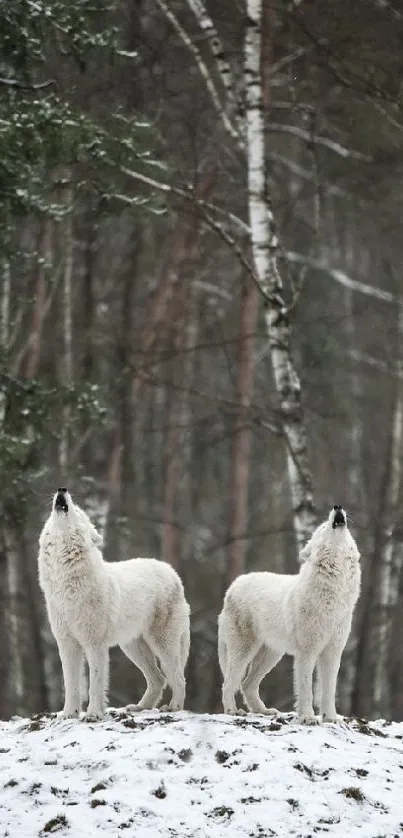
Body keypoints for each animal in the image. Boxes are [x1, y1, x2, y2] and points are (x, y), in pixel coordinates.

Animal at [38, 488, 190, 720]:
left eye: (77, 511)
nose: (62, 489)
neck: (66, 583)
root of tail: (172, 573)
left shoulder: (94, 644)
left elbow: (95, 683)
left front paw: (93, 714)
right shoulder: (66, 644)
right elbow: (70, 684)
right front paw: (69, 714)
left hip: (162, 644)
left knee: (178, 678)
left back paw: (173, 707)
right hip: (133, 647)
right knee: (158, 679)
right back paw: (140, 707)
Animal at [218, 506, 361, 723]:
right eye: (322, 527)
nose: (337, 507)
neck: (334, 594)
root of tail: (233, 586)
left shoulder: (333, 652)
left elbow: (329, 691)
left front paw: (331, 718)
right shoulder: (307, 652)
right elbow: (306, 688)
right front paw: (308, 717)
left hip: (271, 655)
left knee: (247, 684)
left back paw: (263, 711)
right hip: (244, 652)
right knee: (229, 683)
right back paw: (233, 711)